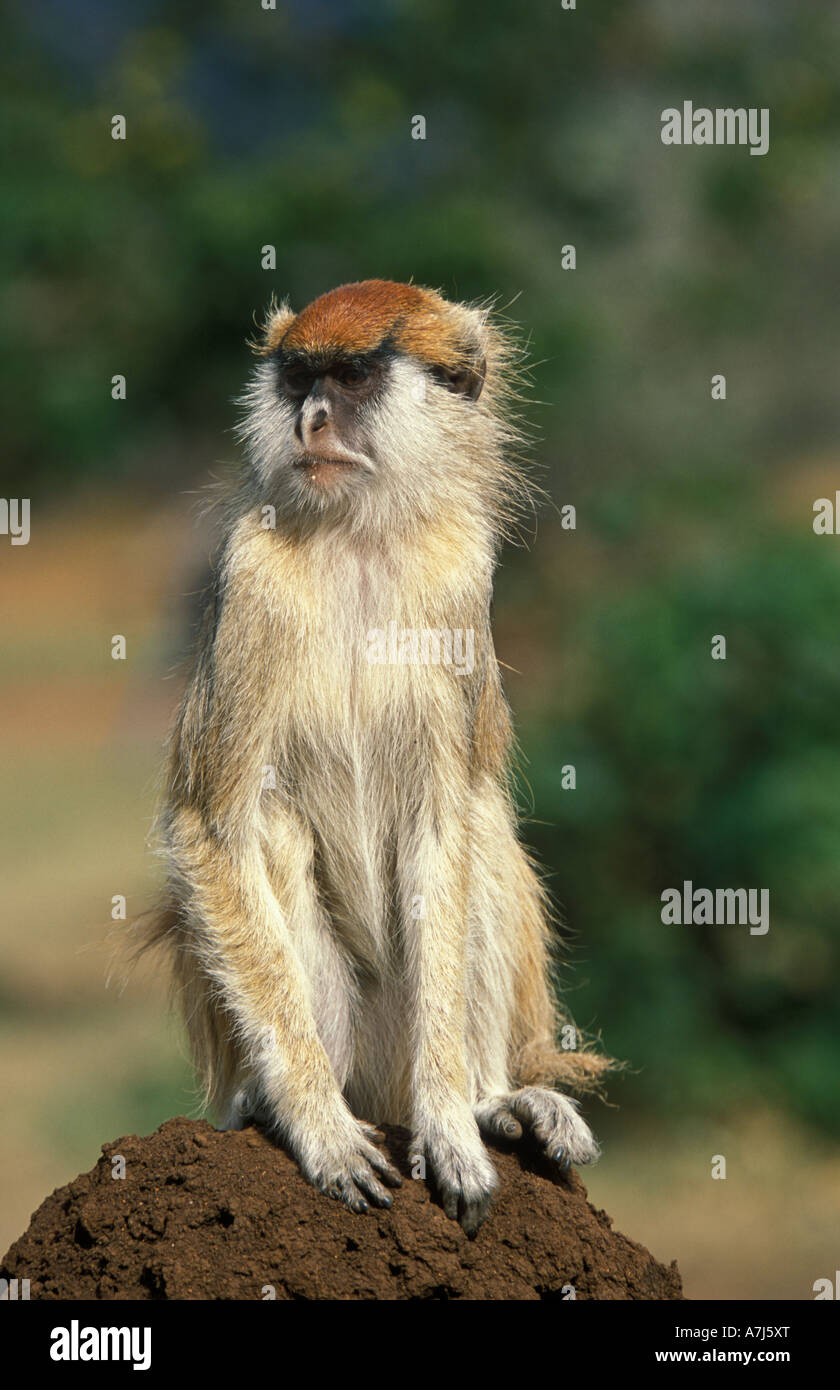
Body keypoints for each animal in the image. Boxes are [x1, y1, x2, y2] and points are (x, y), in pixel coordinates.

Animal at [140, 279, 612, 1235]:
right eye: (298, 376)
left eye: (353, 377)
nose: (310, 421)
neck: (359, 537)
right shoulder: (252, 579)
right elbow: (212, 829)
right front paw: (319, 1130)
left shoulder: (459, 580)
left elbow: (447, 821)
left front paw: (453, 1125)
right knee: (272, 831)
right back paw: (277, 1108)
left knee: (486, 830)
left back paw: (492, 1100)